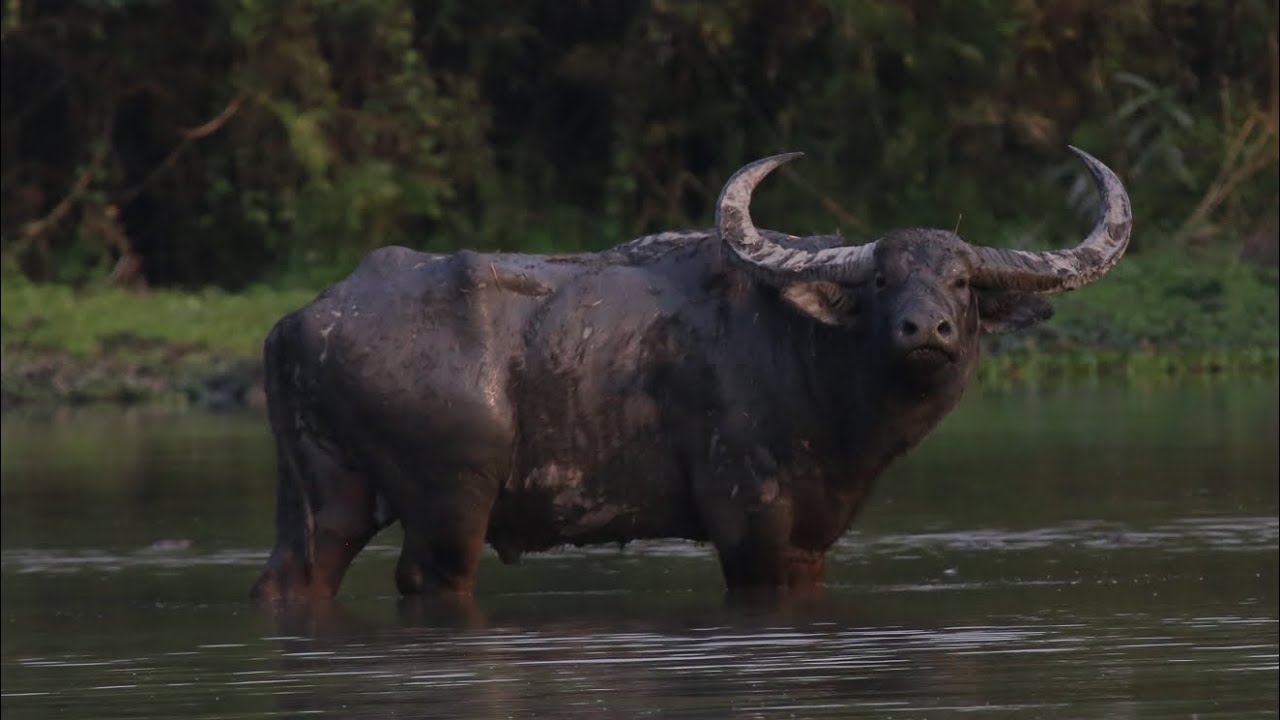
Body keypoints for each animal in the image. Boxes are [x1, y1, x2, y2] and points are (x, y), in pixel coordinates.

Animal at [251, 148, 1131, 602]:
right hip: (447, 505)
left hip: (325, 495)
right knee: (428, 579)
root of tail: (303, 321)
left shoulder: (813, 539)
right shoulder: (749, 523)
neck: (813, 363)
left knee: (294, 577)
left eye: (961, 284)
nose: (926, 331)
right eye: (881, 280)